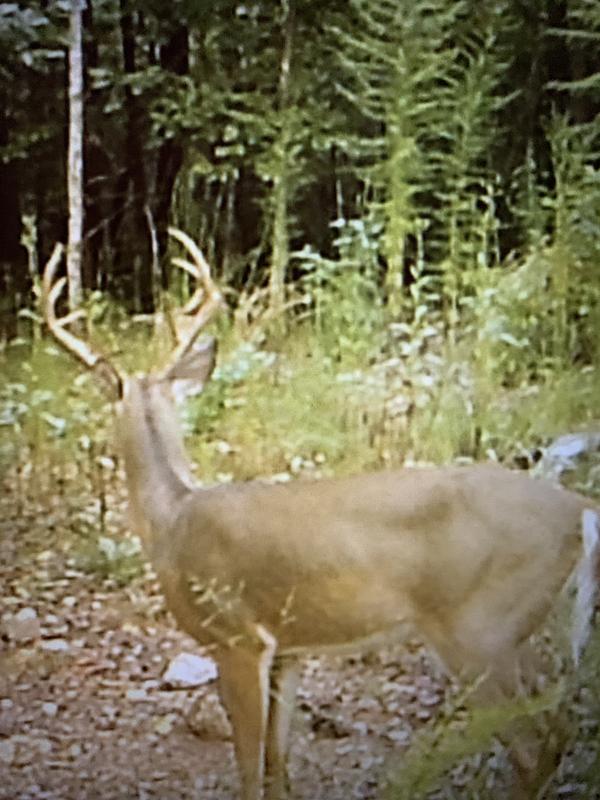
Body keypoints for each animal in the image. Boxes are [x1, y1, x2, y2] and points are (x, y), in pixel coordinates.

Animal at [43, 229, 599, 800]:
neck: (172, 519)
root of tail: (580, 509)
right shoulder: (290, 651)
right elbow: (278, 766)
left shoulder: (237, 638)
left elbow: (249, 770)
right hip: (517, 630)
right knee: (557, 730)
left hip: (477, 629)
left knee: (532, 744)